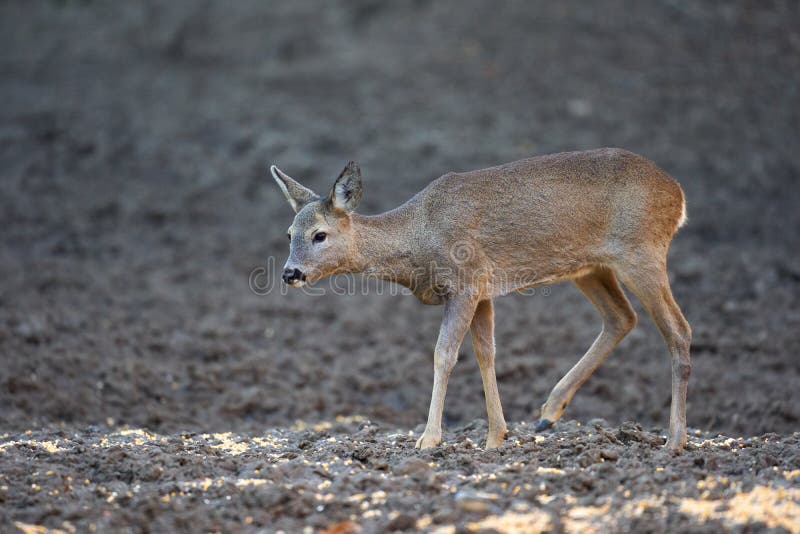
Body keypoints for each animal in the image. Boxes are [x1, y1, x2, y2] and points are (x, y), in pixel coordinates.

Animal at [270, 148, 692, 451]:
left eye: (320, 234)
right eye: (288, 233)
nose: (290, 273)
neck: (418, 239)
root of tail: (678, 193)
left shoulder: (466, 280)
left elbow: (443, 354)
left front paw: (429, 440)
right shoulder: (483, 292)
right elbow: (486, 354)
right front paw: (495, 438)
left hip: (641, 250)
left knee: (678, 329)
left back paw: (674, 441)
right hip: (590, 267)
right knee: (622, 317)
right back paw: (549, 412)